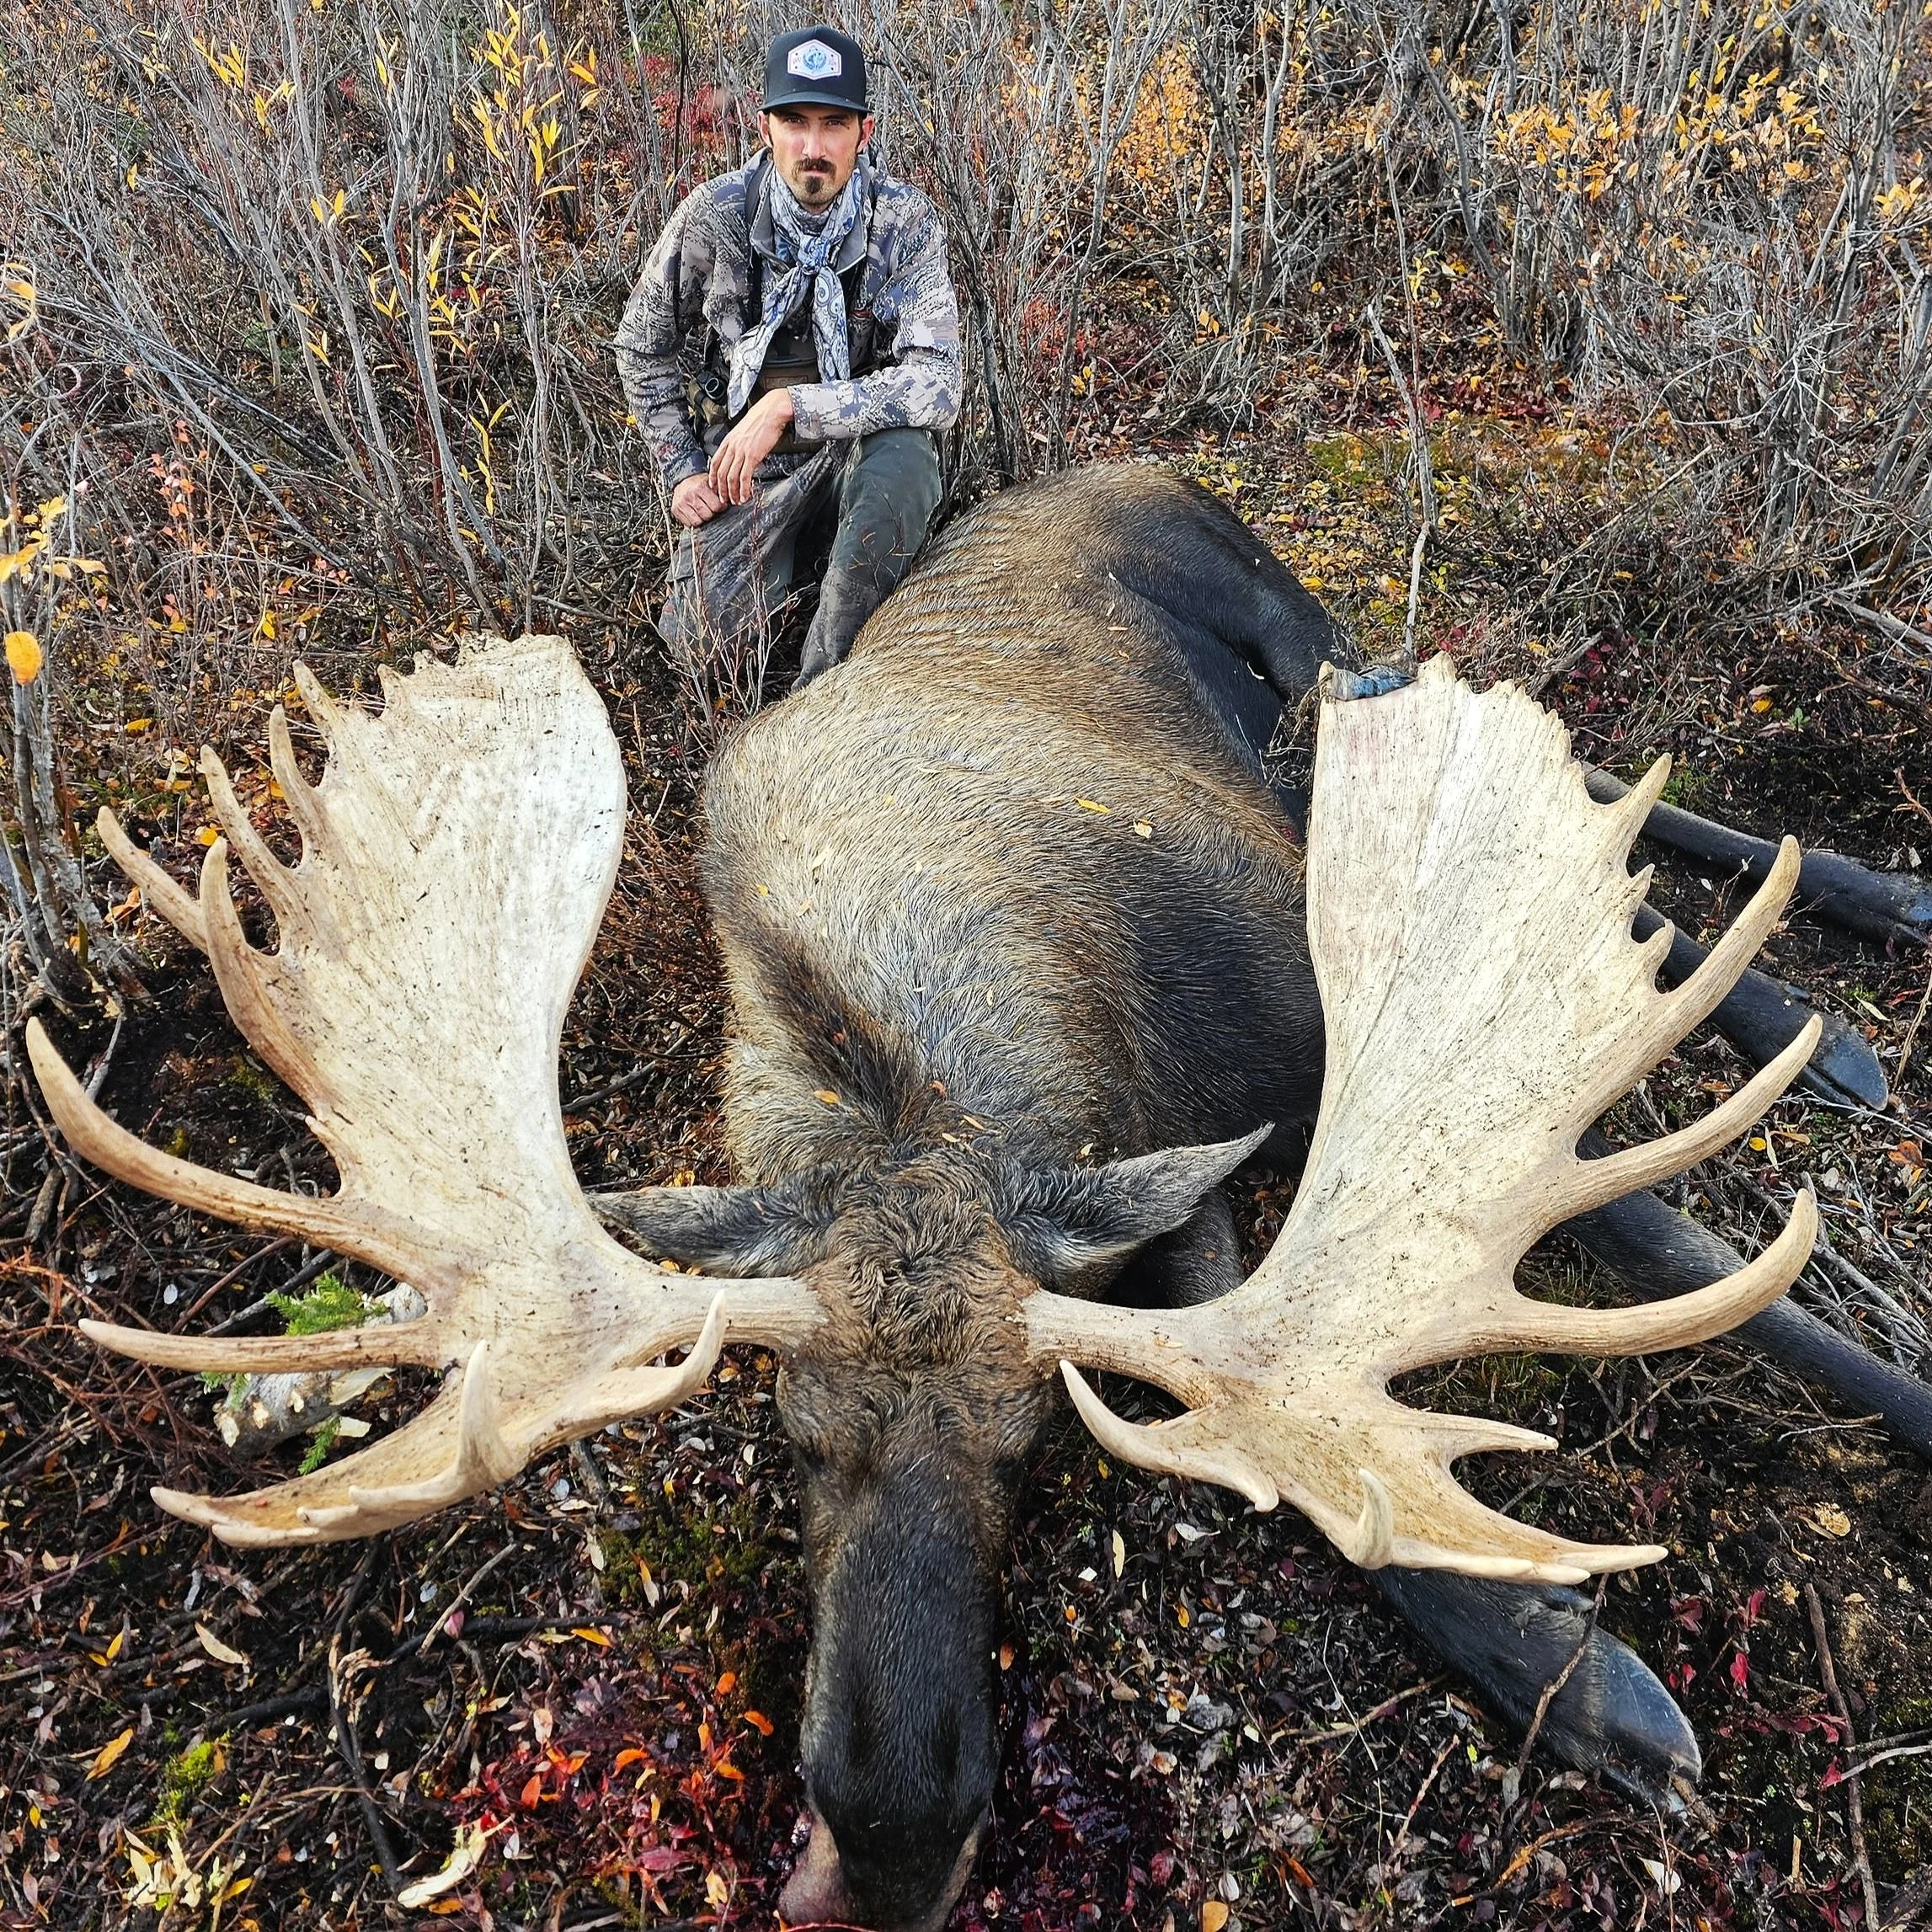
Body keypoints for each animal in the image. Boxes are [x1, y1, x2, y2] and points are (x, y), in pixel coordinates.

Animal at [28, 466, 1932, 1932]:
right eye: (786, 1429)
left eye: (1033, 1442)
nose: (884, 1838)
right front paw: (1559, 1653)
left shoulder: (1312, 1010)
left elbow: (1700, 1255)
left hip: (1295, 623)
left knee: (1551, 771)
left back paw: (1841, 950)